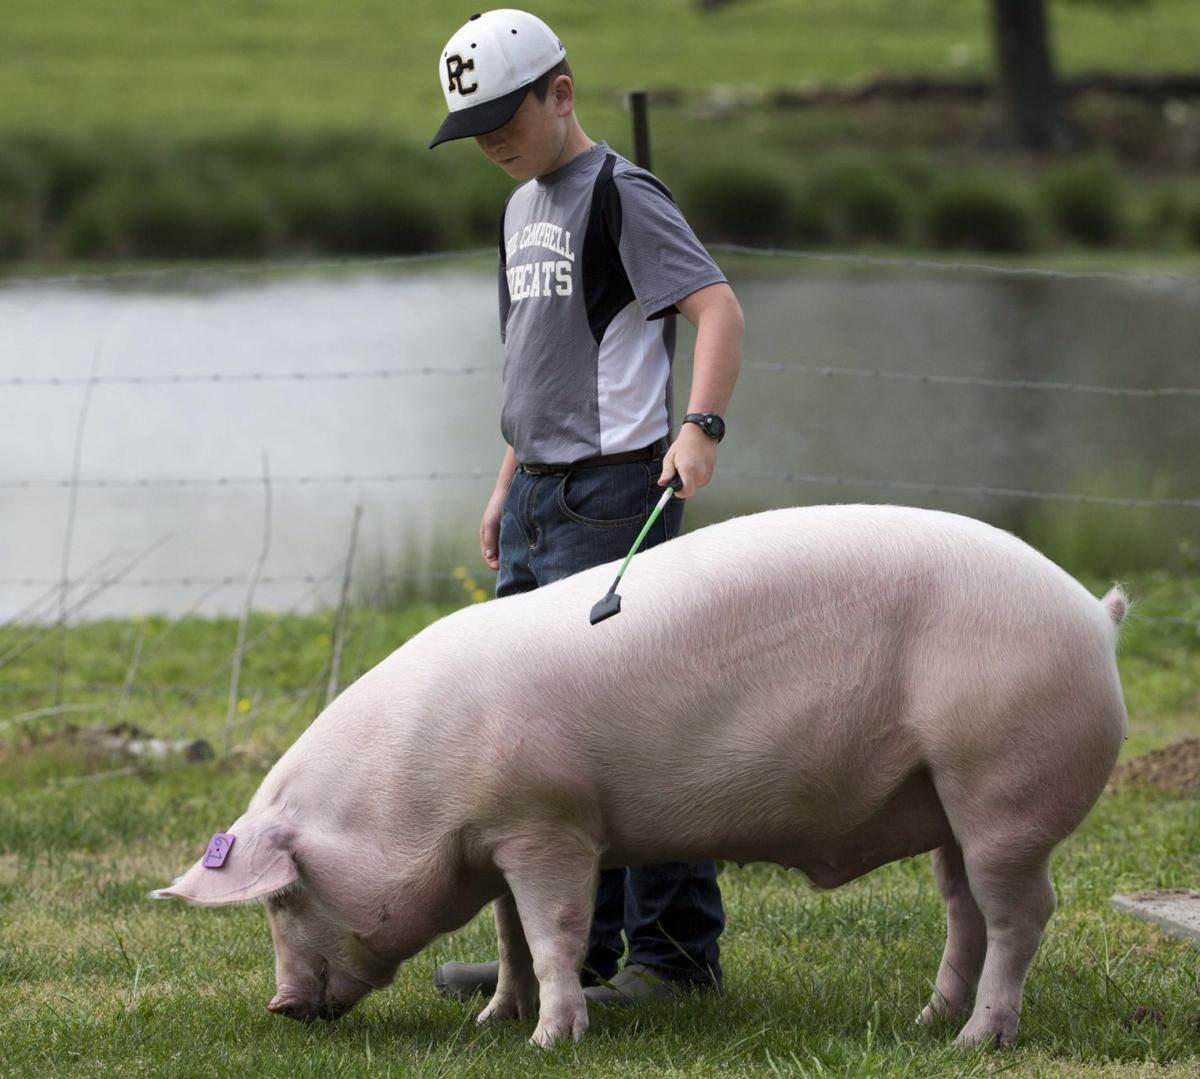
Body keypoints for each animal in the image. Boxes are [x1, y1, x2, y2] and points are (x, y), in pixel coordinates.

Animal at [154, 504, 1128, 1048]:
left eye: (284, 897)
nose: (279, 1005)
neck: (412, 789)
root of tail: (1097, 613)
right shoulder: (497, 838)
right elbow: (512, 936)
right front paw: (492, 1021)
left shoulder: (551, 823)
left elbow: (554, 932)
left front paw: (550, 1043)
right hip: (944, 797)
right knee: (963, 910)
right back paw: (927, 1024)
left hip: (1002, 786)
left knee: (1020, 913)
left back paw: (977, 1040)